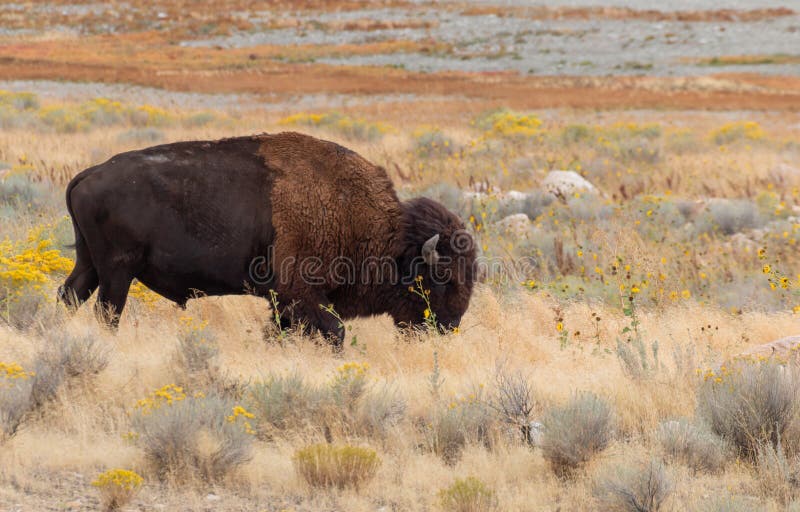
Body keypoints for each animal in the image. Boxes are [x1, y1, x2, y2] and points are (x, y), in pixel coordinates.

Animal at [57, 132, 475, 348]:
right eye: (441, 279)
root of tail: (88, 175)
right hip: (117, 270)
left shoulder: (284, 301)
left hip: (91, 263)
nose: (448, 326)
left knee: (70, 295)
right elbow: (335, 332)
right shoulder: (302, 294)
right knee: (107, 312)